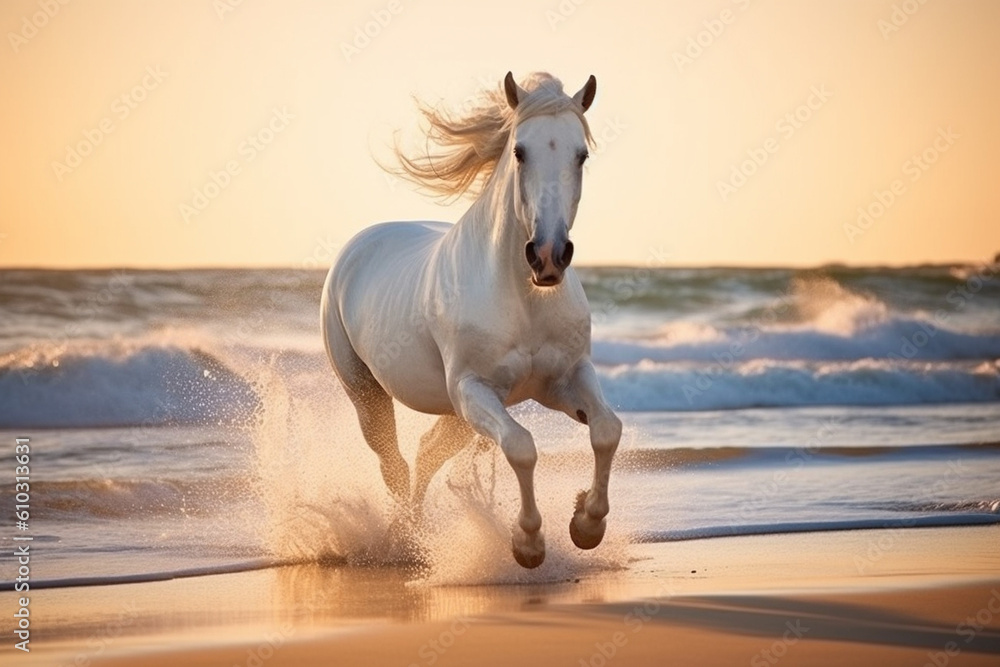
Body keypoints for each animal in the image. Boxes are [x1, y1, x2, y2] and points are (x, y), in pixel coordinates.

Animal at [320, 71, 621, 568]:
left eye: (581, 154)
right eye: (519, 151)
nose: (548, 256)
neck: (523, 299)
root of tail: (357, 248)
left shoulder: (565, 380)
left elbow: (606, 430)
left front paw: (586, 525)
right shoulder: (474, 389)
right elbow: (520, 447)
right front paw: (528, 544)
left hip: (456, 415)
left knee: (425, 454)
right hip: (368, 394)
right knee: (394, 464)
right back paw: (405, 542)